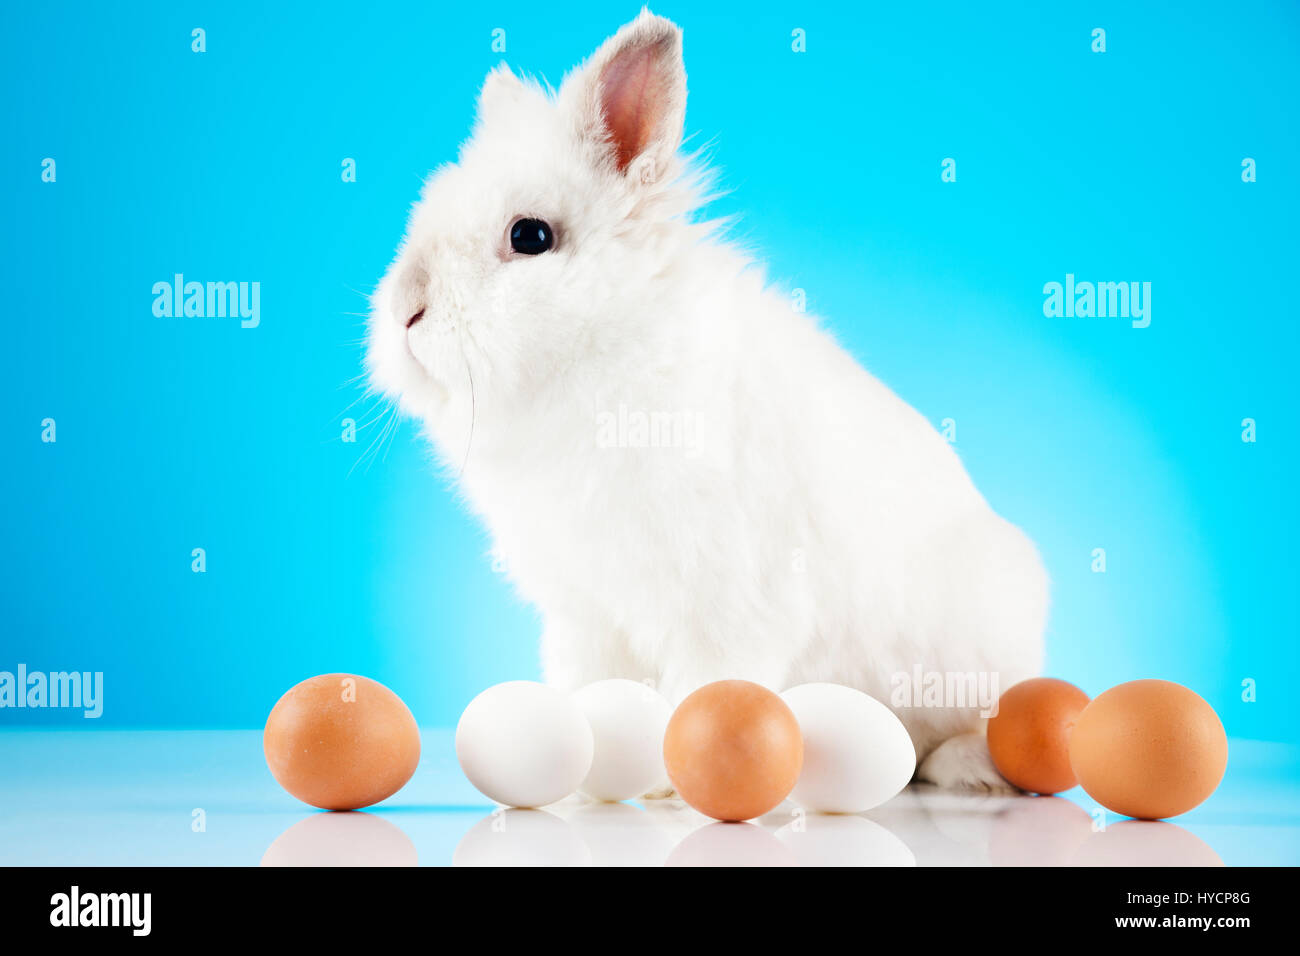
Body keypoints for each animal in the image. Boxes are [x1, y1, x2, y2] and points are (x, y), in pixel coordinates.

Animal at [365, 9, 1047, 790]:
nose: (405, 311)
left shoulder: (727, 608)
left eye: (529, 235)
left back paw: (964, 766)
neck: (604, 350)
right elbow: (588, 697)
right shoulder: (585, 618)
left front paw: (674, 783)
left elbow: (706, 695)